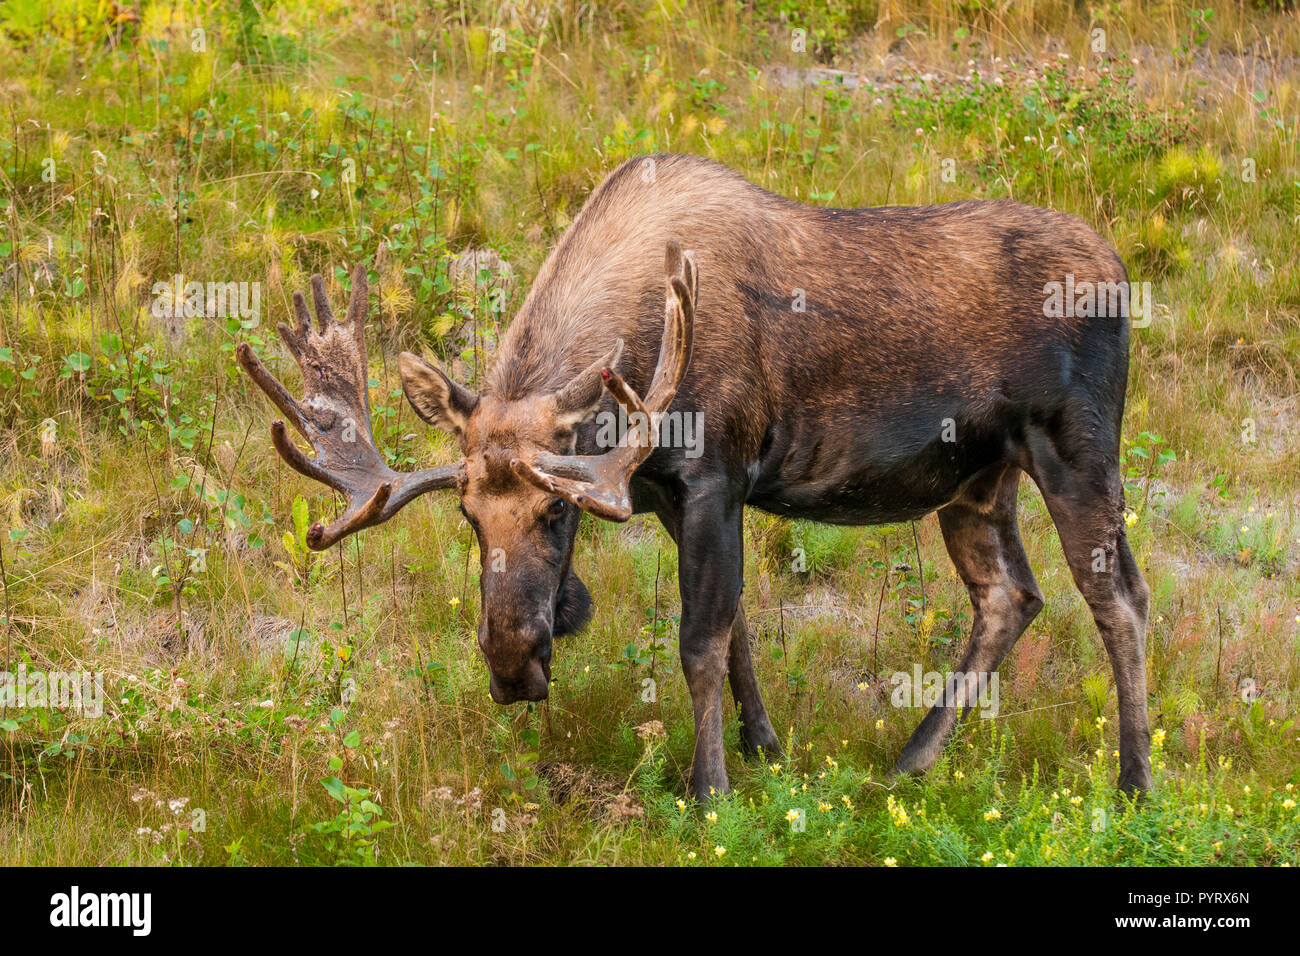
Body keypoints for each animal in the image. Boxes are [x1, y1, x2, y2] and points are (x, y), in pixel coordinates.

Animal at [237, 153, 1152, 801]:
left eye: (557, 514)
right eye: (466, 514)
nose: (511, 661)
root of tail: (1122, 271)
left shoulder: (715, 476)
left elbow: (700, 639)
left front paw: (710, 790)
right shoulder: (670, 497)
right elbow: (739, 627)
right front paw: (764, 749)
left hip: (1077, 450)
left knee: (1119, 598)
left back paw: (1135, 782)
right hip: (976, 480)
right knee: (1010, 595)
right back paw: (910, 761)